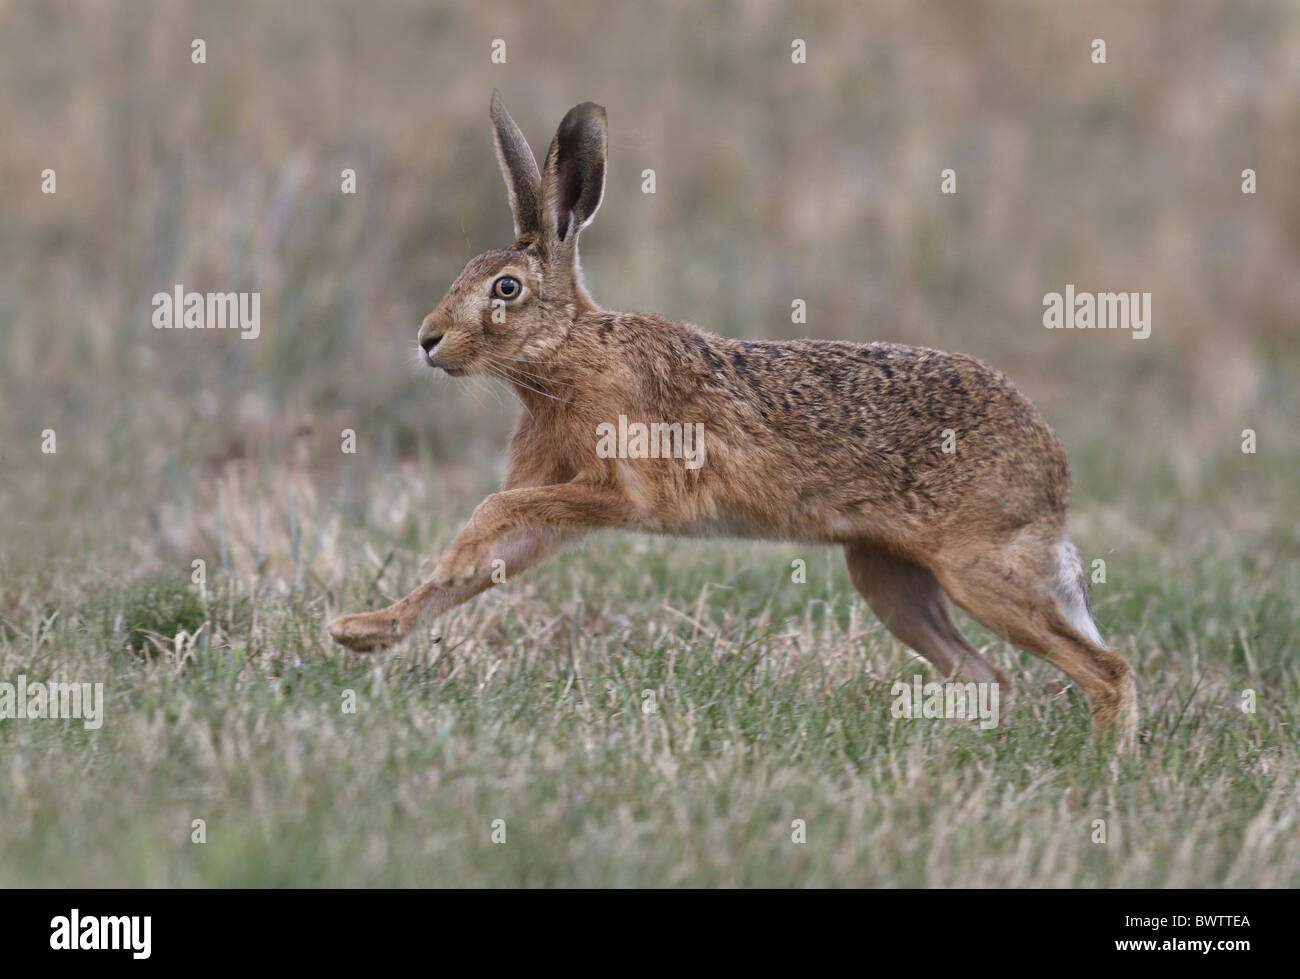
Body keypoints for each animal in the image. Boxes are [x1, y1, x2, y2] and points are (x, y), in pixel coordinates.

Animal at [327, 91, 1138, 749]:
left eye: (505, 288)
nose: (428, 339)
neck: (568, 352)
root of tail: (1054, 471)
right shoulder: (559, 501)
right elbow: (482, 559)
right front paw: (366, 630)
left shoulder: (623, 491)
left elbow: (495, 509)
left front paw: (413, 589)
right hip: (888, 575)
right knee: (985, 676)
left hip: (979, 569)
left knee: (1108, 670)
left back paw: (1103, 769)